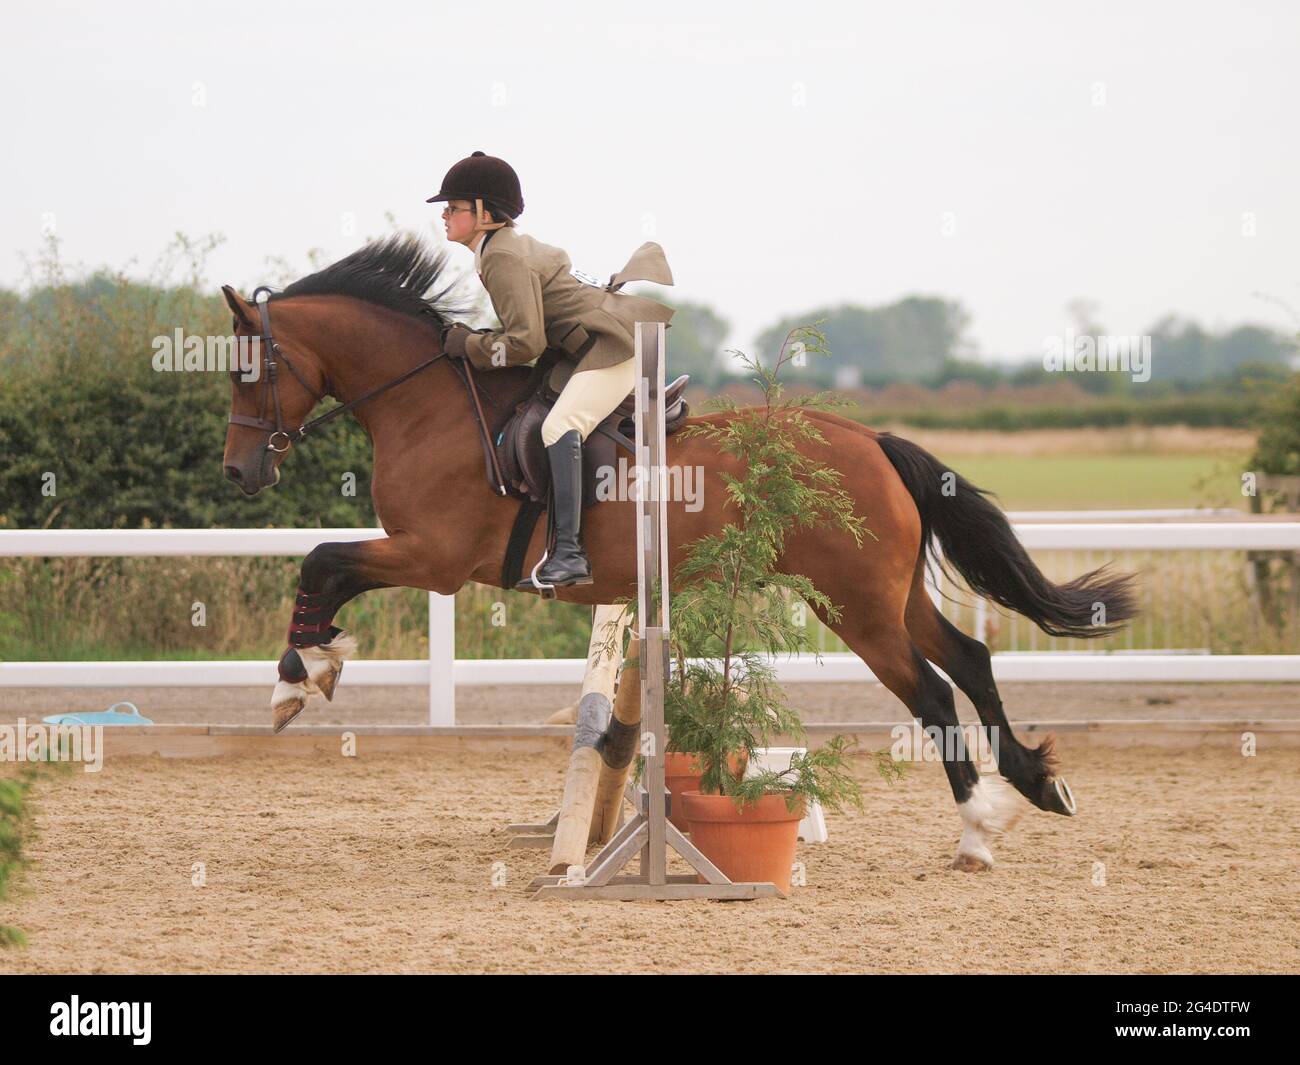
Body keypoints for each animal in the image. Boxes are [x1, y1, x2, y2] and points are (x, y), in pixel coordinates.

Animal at [221, 234, 1136, 871]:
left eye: (246, 371)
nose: (239, 472)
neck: (427, 400)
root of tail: (872, 441)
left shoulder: (434, 555)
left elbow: (323, 559)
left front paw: (298, 677)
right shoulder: (427, 556)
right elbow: (326, 566)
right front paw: (315, 664)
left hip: (856, 605)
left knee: (935, 691)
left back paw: (978, 827)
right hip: (888, 593)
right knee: (973, 658)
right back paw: (1035, 786)